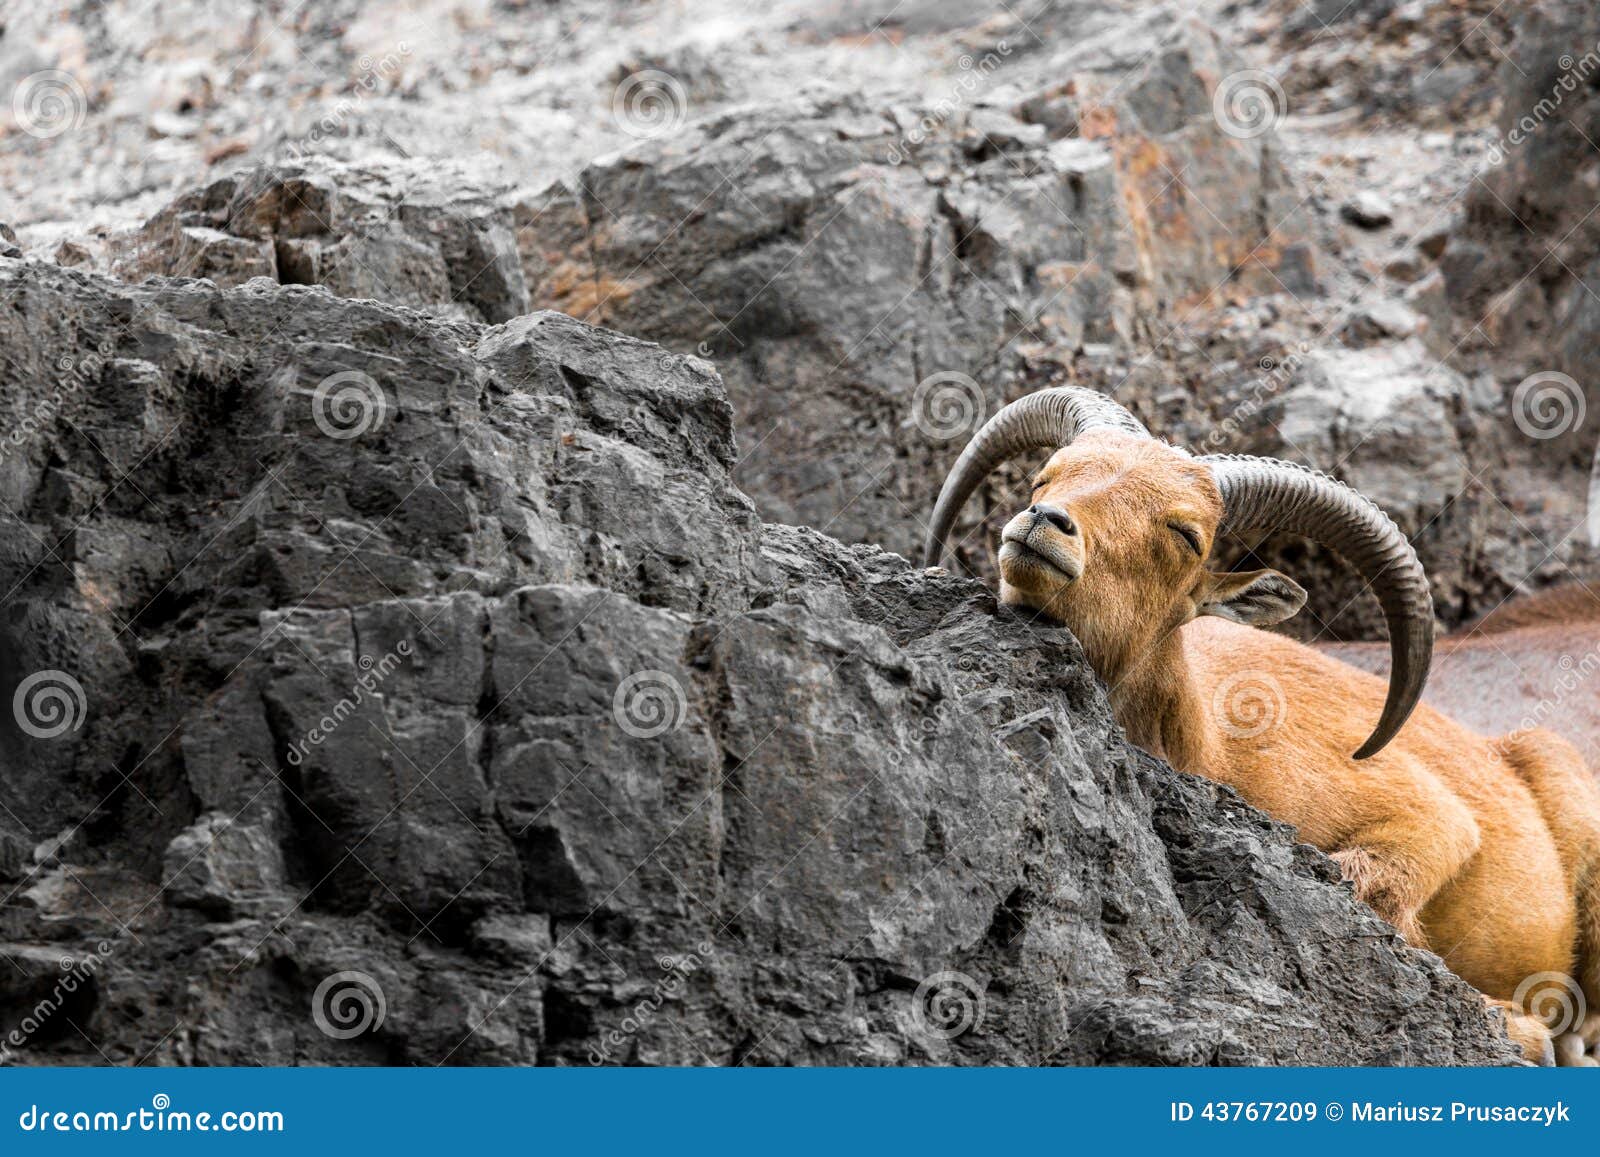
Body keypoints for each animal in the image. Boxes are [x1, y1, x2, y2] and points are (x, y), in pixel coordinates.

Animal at [925, 387, 1600, 1065]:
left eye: (1186, 534)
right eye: (1046, 476)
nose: (1045, 520)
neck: (1211, 743)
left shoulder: (1430, 816)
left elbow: (1376, 884)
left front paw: (1516, 1024)